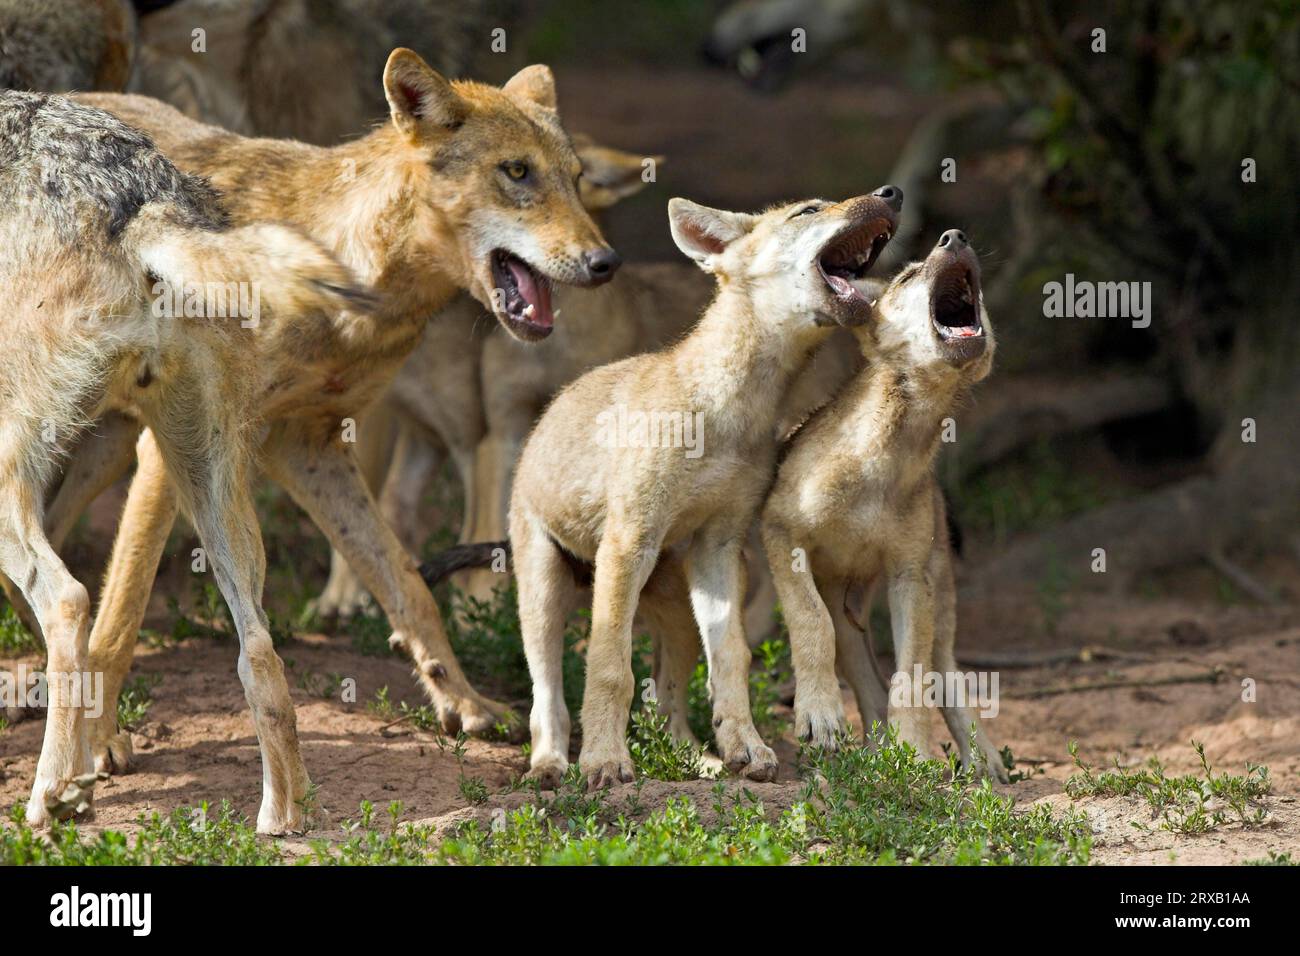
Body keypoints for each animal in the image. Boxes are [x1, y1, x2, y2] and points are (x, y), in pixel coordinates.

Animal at [0, 89, 369, 828]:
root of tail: (140, 200)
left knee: (69, 601)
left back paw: (50, 796)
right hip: (208, 480)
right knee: (260, 651)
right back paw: (284, 815)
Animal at [506, 187, 900, 788]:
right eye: (809, 211)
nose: (890, 194)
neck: (729, 414)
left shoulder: (721, 547)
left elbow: (732, 662)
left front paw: (747, 749)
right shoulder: (629, 542)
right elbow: (609, 669)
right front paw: (604, 763)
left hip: (679, 614)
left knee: (667, 706)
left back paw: (703, 764)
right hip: (545, 597)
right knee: (547, 697)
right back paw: (551, 766)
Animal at [760, 228, 1008, 780]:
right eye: (909, 275)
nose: (954, 237)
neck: (891, 455)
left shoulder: (909, 576)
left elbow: (911, 676)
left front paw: (913, 752)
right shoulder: (781, 533)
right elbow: (810, 625)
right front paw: (821, 717)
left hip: (934, 590)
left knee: (943, 670)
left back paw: (979, 763)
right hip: (843, 605)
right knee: (859, 671)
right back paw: (868, 760)